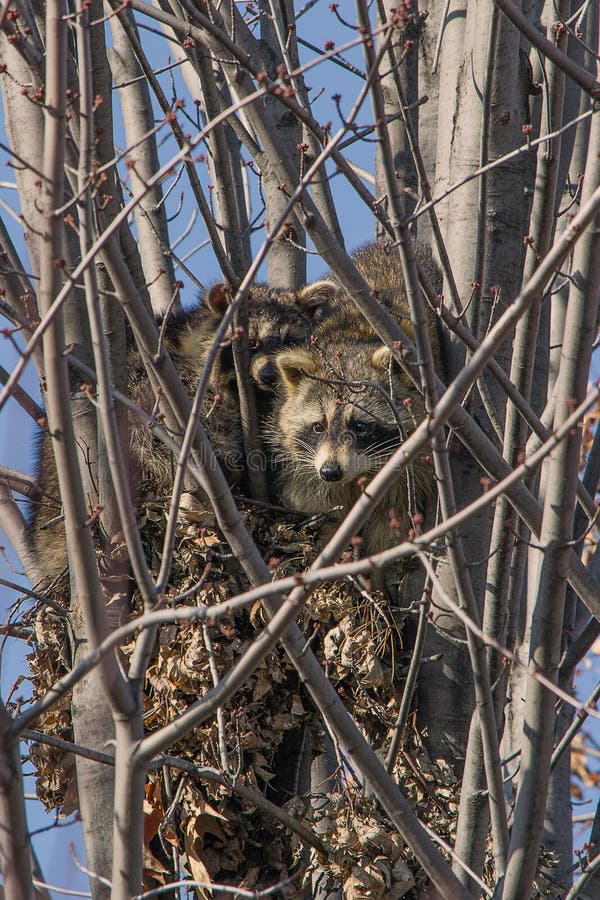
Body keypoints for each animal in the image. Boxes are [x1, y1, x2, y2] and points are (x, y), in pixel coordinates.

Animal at [269, 243, 441, 553]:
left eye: (360, 425)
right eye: (318, 426)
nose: (330, 471)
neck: (356, 339)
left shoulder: (414, 466)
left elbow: (393, 516)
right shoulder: (298, 458)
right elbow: (311, 495)